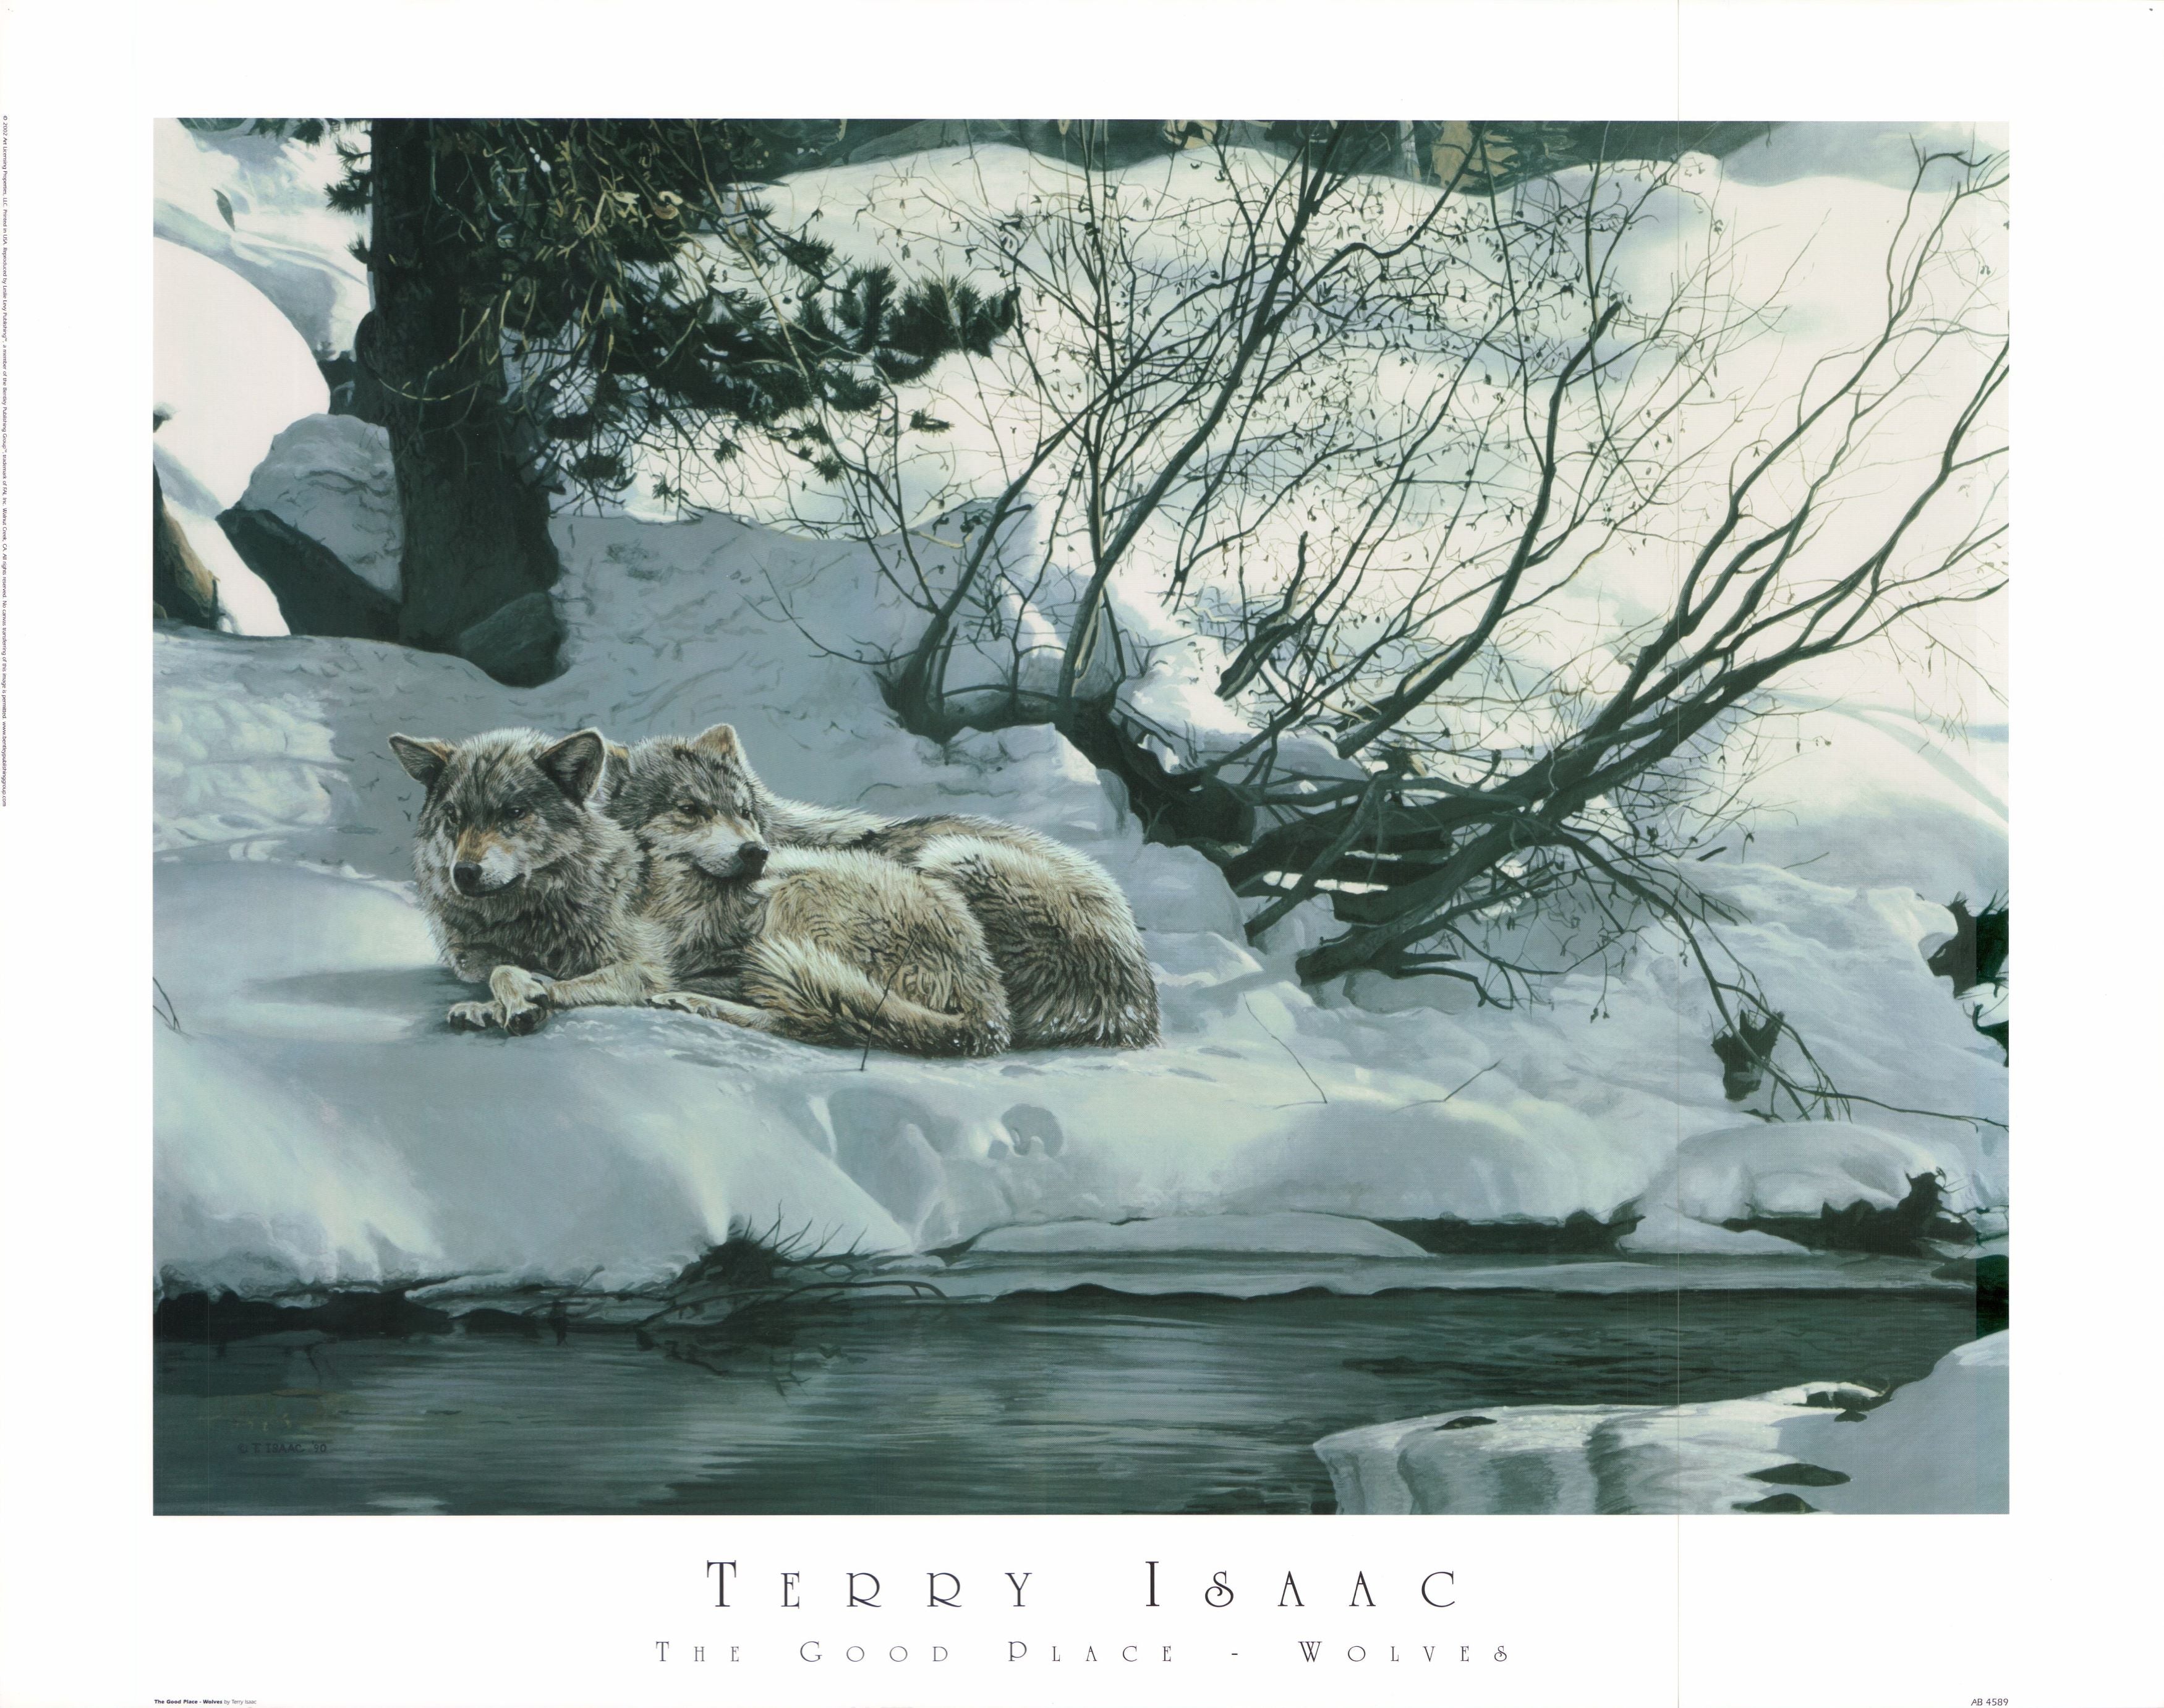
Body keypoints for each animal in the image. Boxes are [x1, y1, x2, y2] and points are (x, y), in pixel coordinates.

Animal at [388, 727, 668, 1034]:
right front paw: (498, 1003)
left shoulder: (645, 969)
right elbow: (501, 969)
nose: (464, 872)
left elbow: (556, 983)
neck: (529, 918)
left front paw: (514, 1002)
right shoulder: (473, 961)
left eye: (514, 812)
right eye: (452, 815)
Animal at [612, 724, 1159, 1050]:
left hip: (939, 859)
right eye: (689, 809)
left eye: (743, 811)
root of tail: (1139, 1004)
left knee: (810, 1018)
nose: (755, 852)